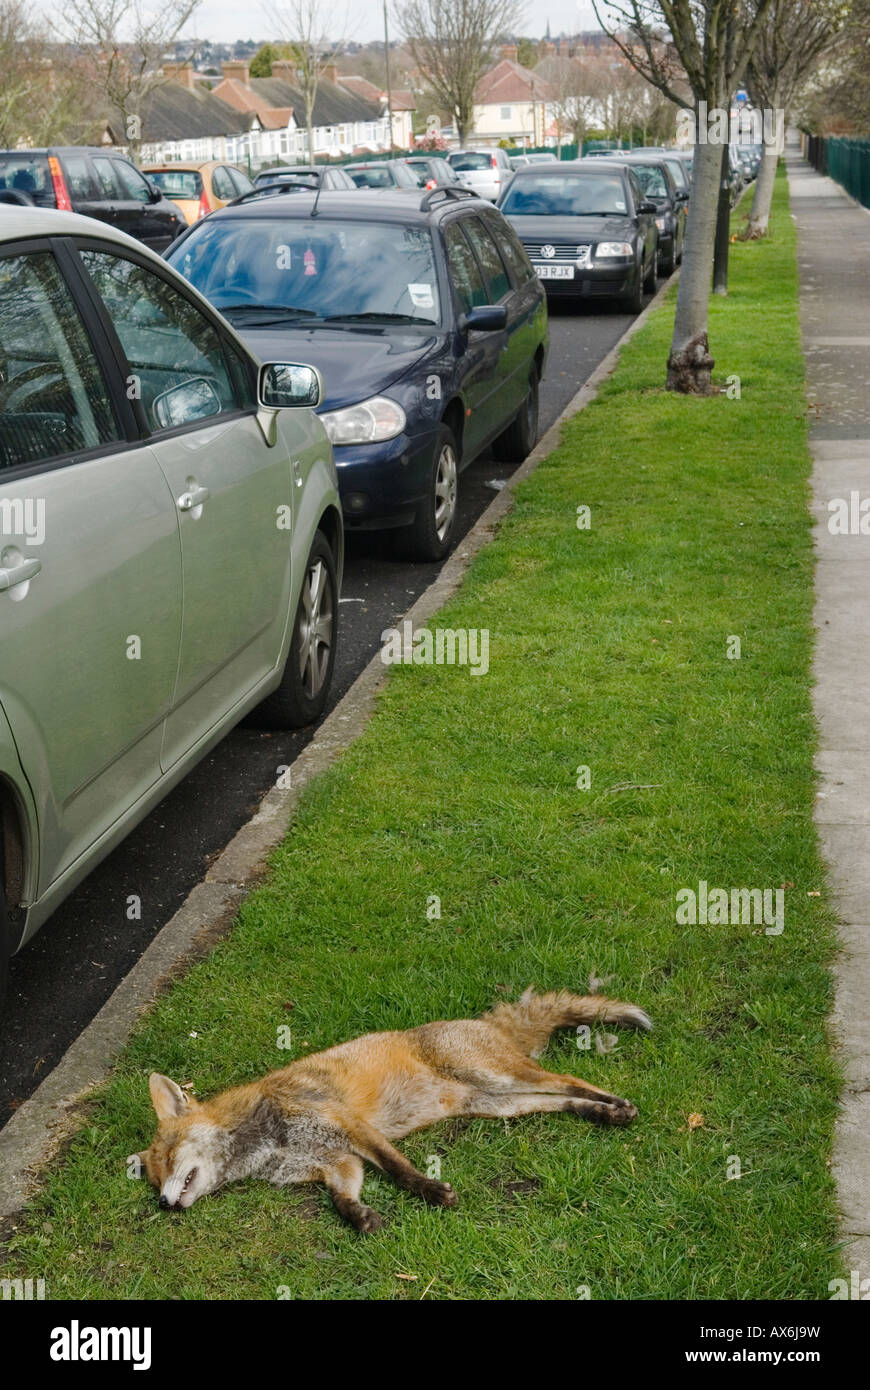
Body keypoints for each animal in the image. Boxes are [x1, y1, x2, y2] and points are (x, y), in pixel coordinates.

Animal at [140, 987, 651, 1232]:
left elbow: (400, 1170)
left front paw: (433, 1193)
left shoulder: (350, 1126)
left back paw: (616, 1106)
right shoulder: (335, 1162)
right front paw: (360, 1219)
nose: (163, 1203)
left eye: (168, 1160)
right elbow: (342, 1199)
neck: (267, 1142)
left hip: (501, 1077)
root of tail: (486, 1023)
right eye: (153, 1179)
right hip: (499, 1104)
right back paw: (598, 1114)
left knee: (571, 1081)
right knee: (560, 1100)